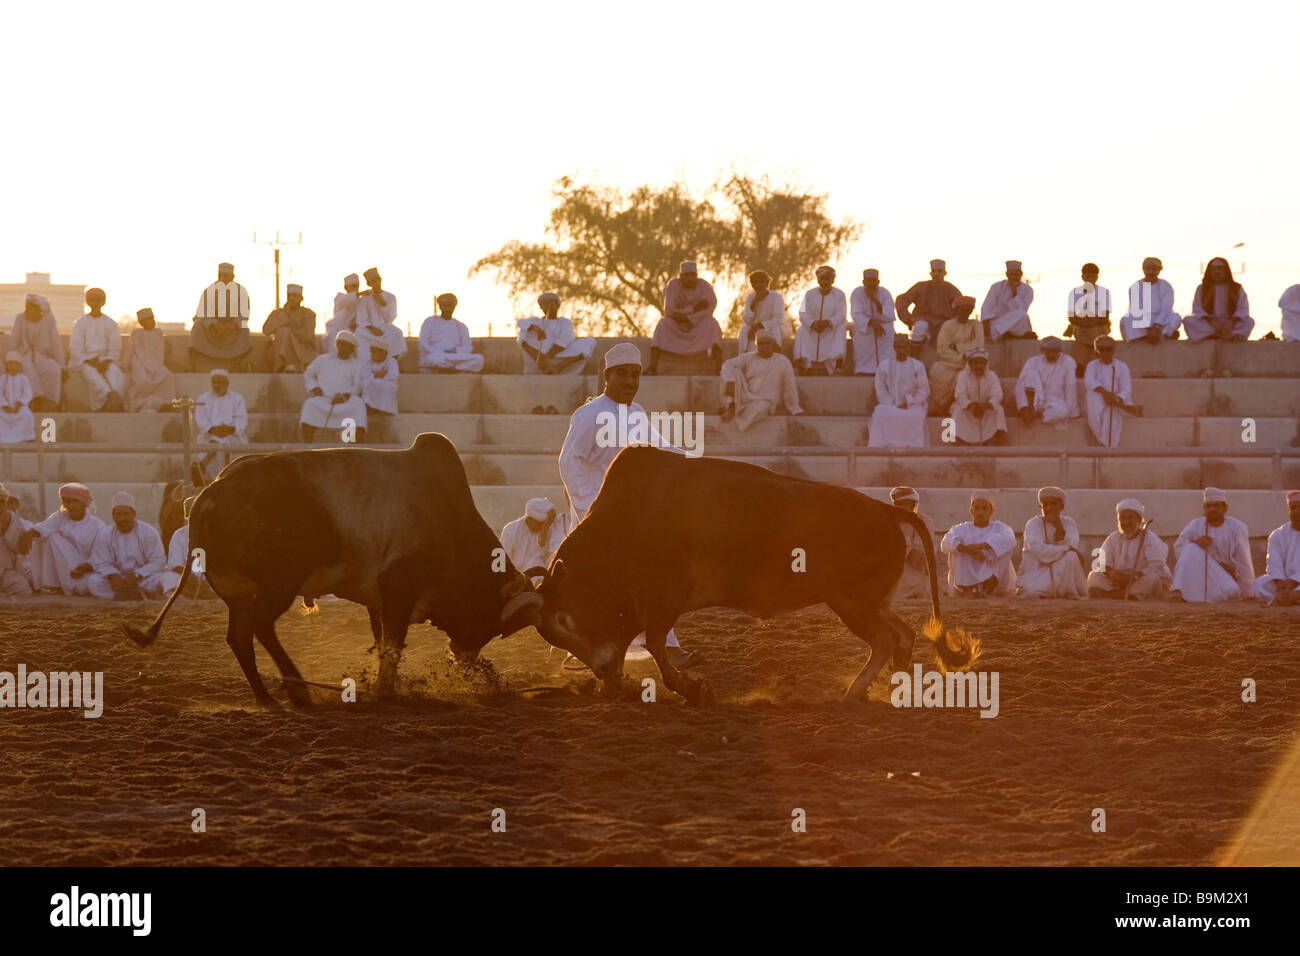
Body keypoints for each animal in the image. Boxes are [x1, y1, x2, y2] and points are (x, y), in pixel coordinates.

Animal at [122, 433, 542, 706]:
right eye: (490, 621)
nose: (465, 658)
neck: (448, 518)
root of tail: (210, 492)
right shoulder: (399, 588)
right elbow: (392, 644)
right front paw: (387, 690)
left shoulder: (379, 600)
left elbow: (383, 640)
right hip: (279, 584)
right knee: (260, 626)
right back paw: (295, 689)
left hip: (239, 593)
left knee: (239, 637)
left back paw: (265, 695)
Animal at [536, 446, 974, 704]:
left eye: (564, 618)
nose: (603, 670)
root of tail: (886, 509)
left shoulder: (665, 598)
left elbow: (657, 644)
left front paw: (691, 688)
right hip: (871, 602)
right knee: (902, 635)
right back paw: (892, 684)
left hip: (854, 604)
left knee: (885, 639)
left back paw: (856, 691)